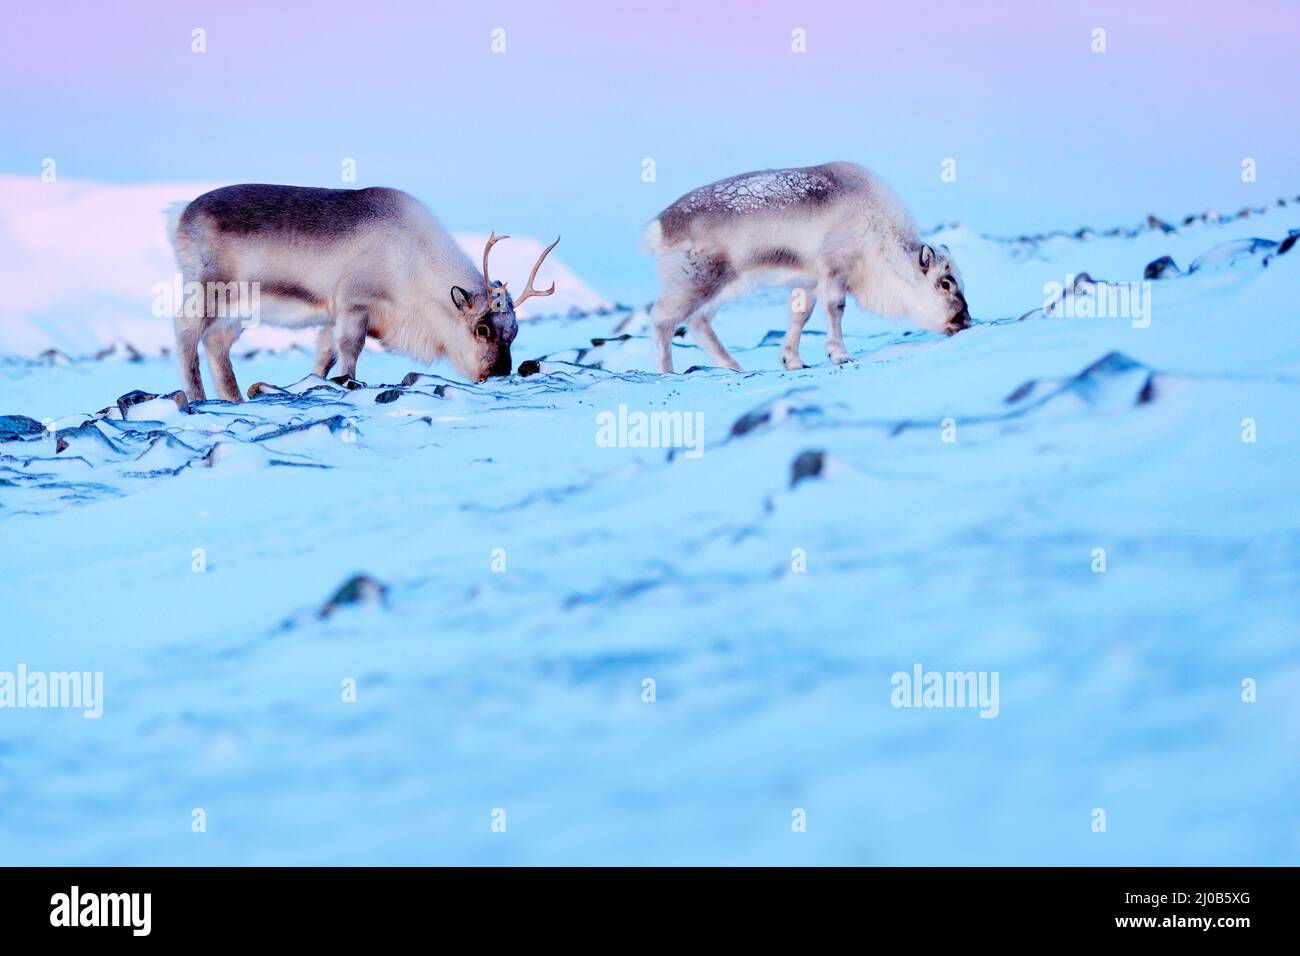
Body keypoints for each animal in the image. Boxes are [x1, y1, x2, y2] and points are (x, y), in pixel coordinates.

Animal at [167, 184, 559, 402]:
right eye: (482, 329)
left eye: (514, 332)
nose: (498, 374)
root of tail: (180, 214)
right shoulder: (356, 304)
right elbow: (350, 352)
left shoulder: (332, 316)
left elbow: (324, 358)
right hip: (210, 290)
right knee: (186, 330)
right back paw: (198, 397)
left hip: (236, 312)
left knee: (216, 343)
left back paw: (234, 398)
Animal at [642, 162, 971, 373]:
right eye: (945, 283)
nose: (966, 321)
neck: (881, 237)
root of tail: (660, 226)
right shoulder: (835, 268)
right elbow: (835, 309)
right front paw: (840, 354)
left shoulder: (807, 282)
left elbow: (799, 317)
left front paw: (792, 360)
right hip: (696, 281)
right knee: (662, 319)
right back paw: (666, 371)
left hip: (722, 288)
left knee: (698, 323)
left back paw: (735, 367)